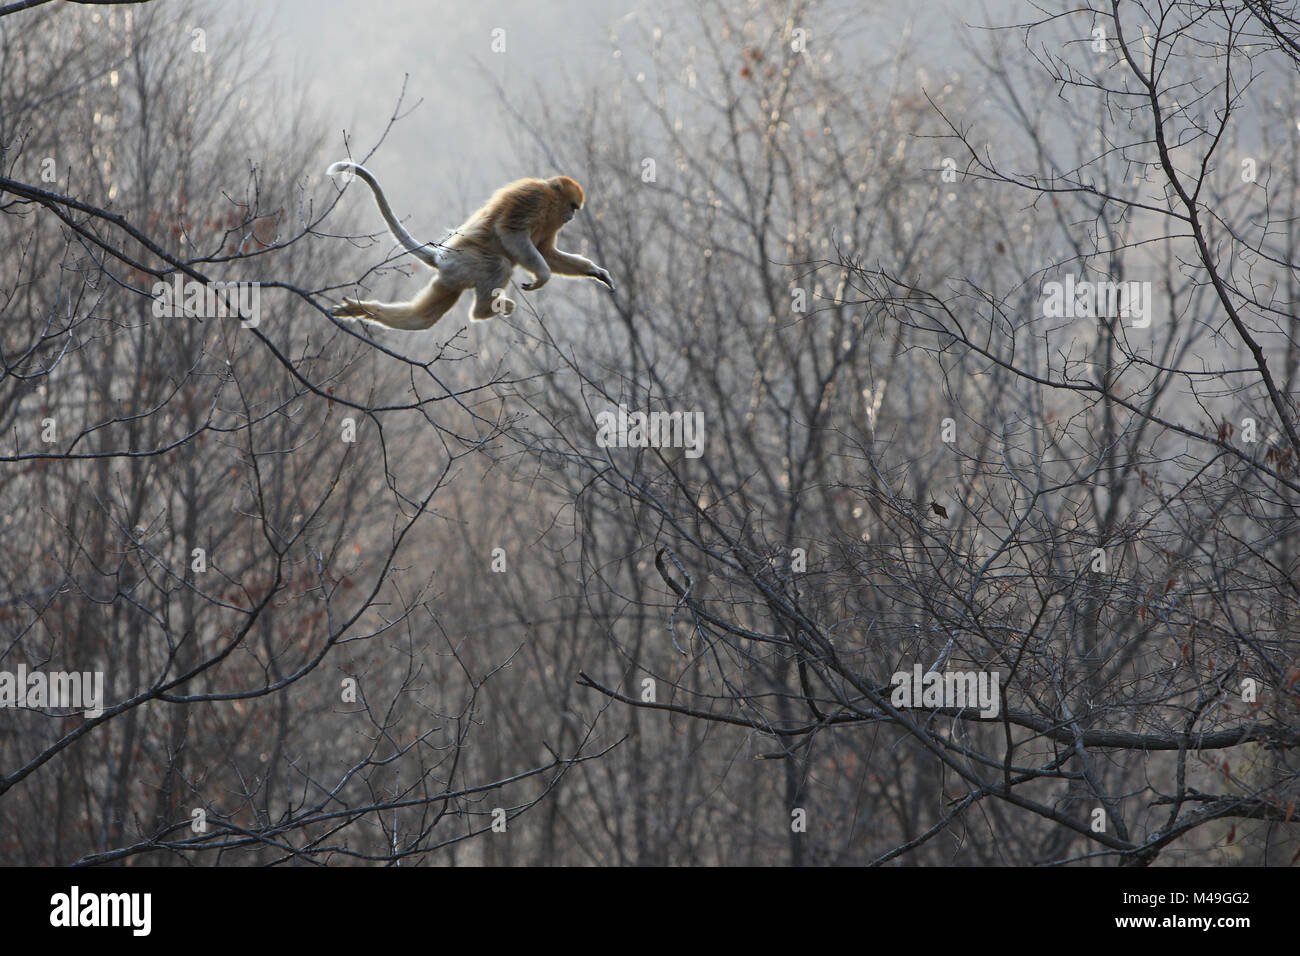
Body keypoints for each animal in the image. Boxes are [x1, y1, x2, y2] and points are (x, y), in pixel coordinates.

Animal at [325, 161, 615, 330]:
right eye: (571, 206)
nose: (572, 216)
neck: (550, 203)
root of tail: (441, 257)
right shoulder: (533, 197)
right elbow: (509, 233)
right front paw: (541, 276)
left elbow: (547, 253)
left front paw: (595, 272)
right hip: (466, 260)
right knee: (499, 262)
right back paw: (483, 311)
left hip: (452, 275)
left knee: (421, 319)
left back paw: (360, 310)